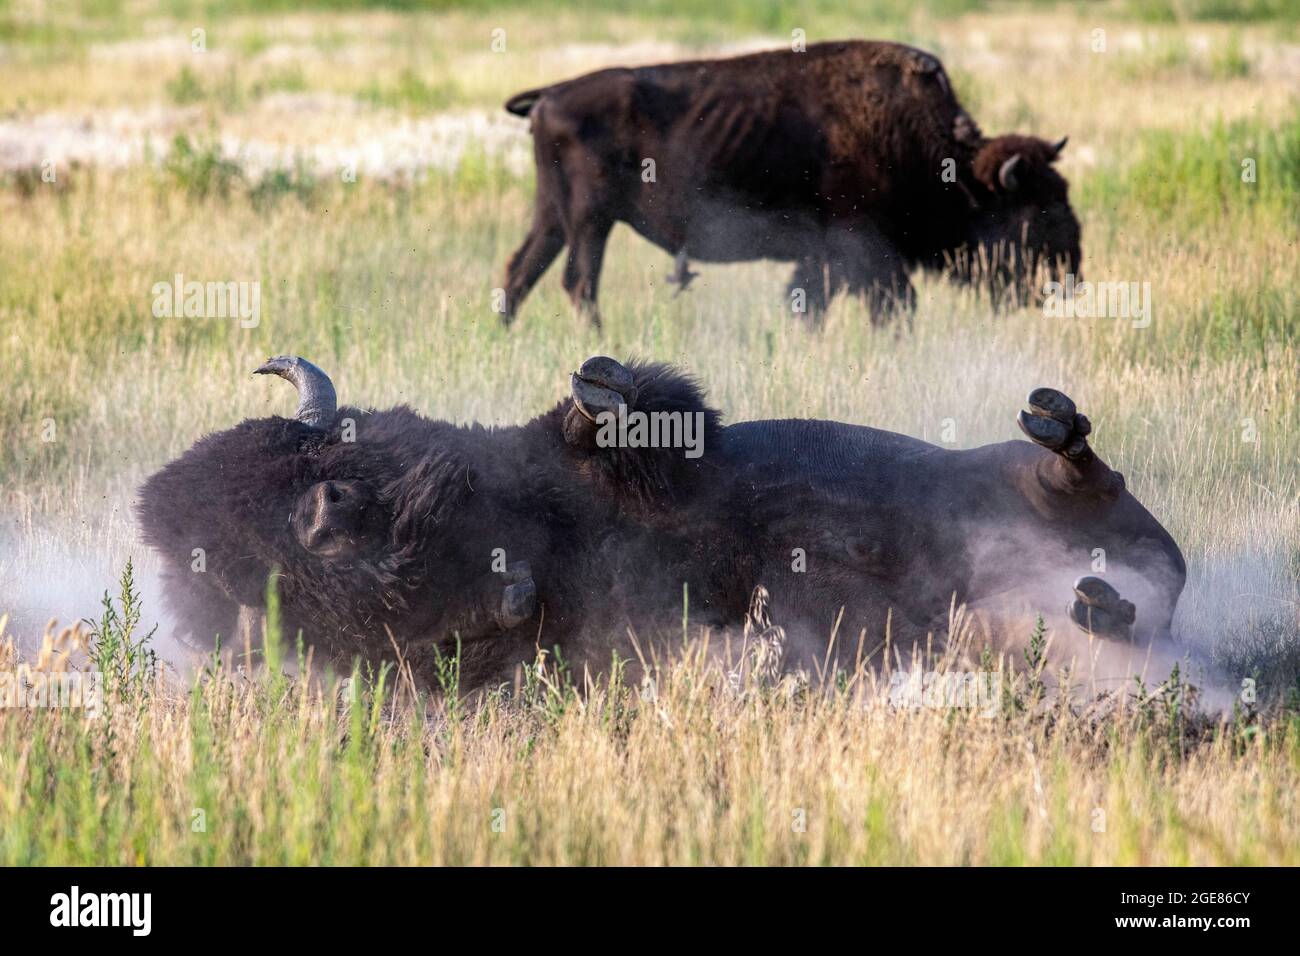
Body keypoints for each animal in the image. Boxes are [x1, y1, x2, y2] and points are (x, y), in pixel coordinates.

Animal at [137, 354, 1183, 692]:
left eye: (308, 460)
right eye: (266, 575)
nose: (330, 511)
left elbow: (610, 419)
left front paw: (596, 390)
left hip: (1026, 484)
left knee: (1086, 487)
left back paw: (1053, 429)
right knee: (1131, 599)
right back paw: (1094, 605)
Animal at [501, 40, 1082, 326]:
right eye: (1038, 210)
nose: (1071, 274)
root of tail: (551, 95)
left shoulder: (824, 259)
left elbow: (811, 305)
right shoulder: (864, 250)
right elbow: (892, 307)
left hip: (553, 217)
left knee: (520, 274)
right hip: (590, 220)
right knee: (578, 283)